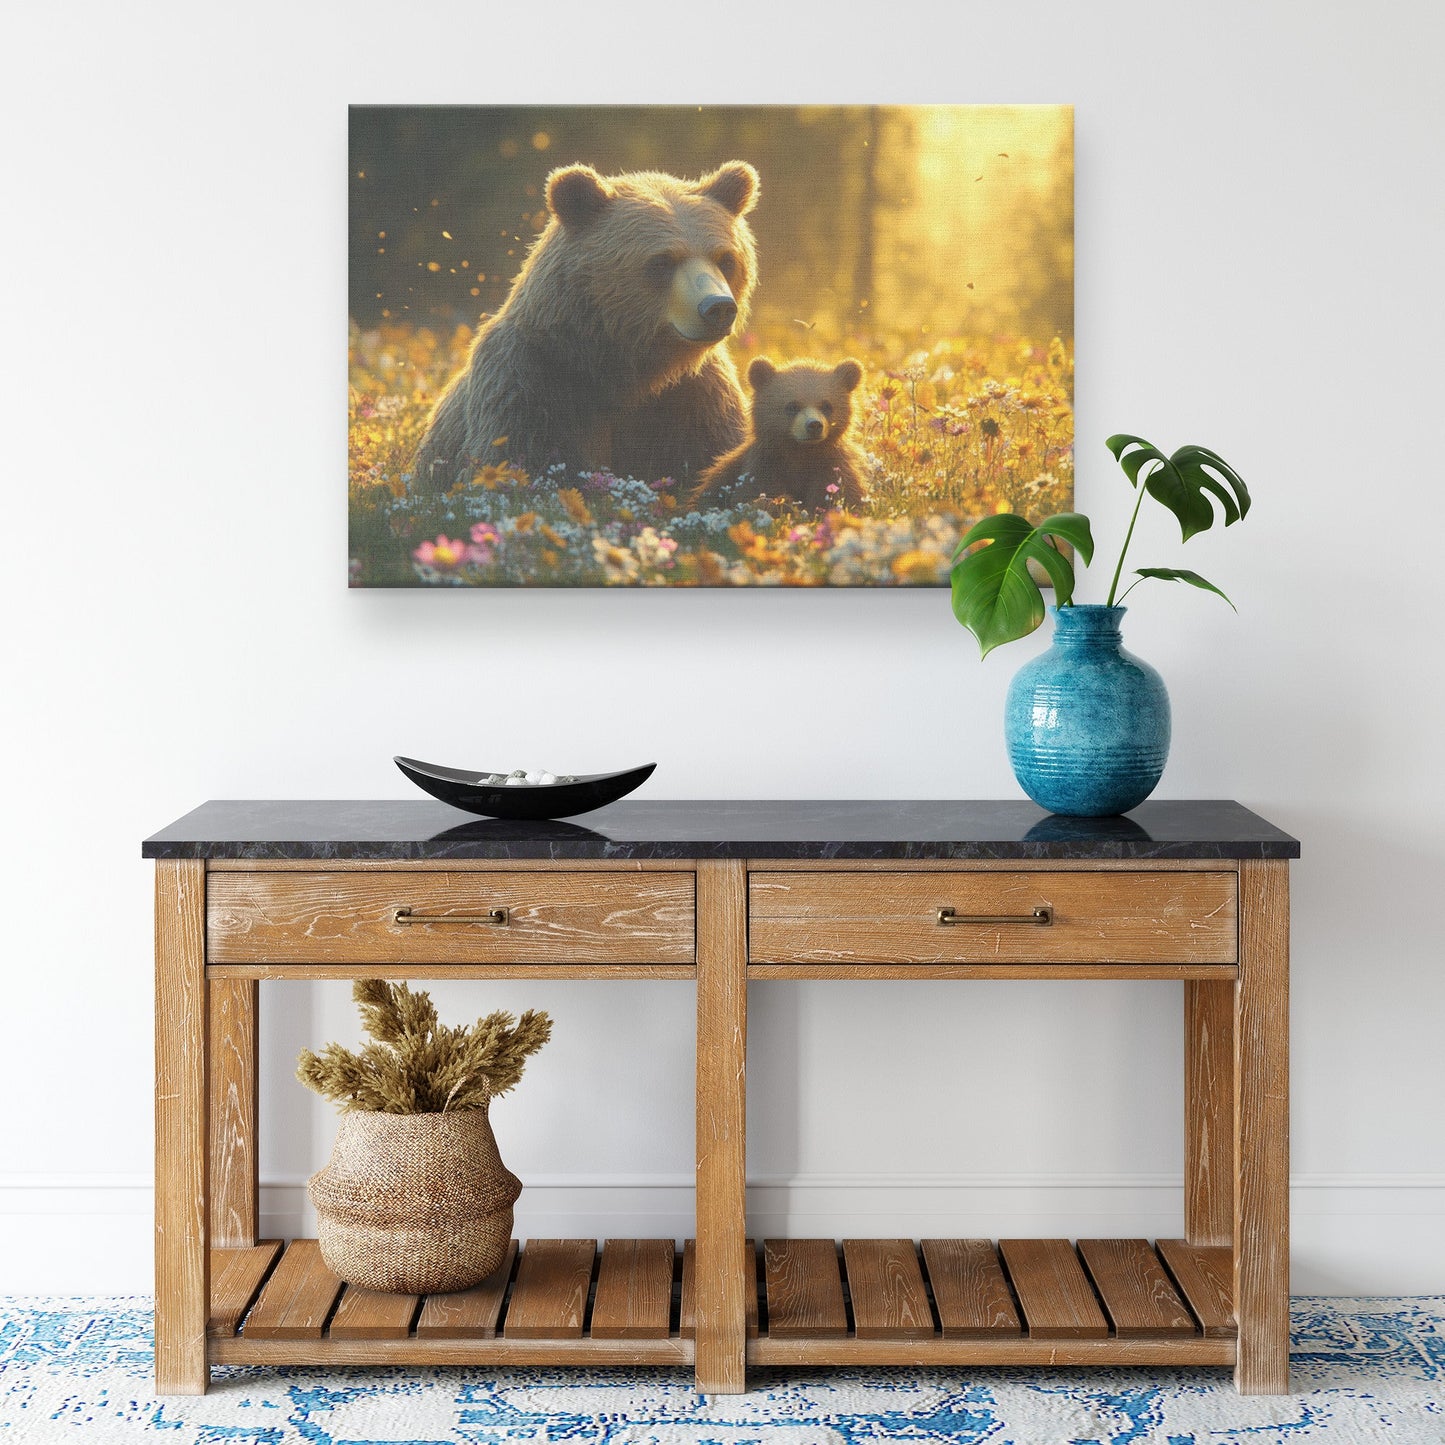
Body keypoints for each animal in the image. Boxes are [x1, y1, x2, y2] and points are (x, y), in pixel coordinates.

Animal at [411, 161, 760, 493]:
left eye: (726, 259)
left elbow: (720, 449)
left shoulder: (695, 394)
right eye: (662, 261)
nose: (718, 307)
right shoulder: (530, 377)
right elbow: (517, 455)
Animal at [689, 356, 867, 512]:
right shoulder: (765, 466)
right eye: (792, 406)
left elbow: (840, 495)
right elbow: (754, 495)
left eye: (826, 405)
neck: (800, 452)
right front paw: (783, 503)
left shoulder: (831, 465)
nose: (814, 425)